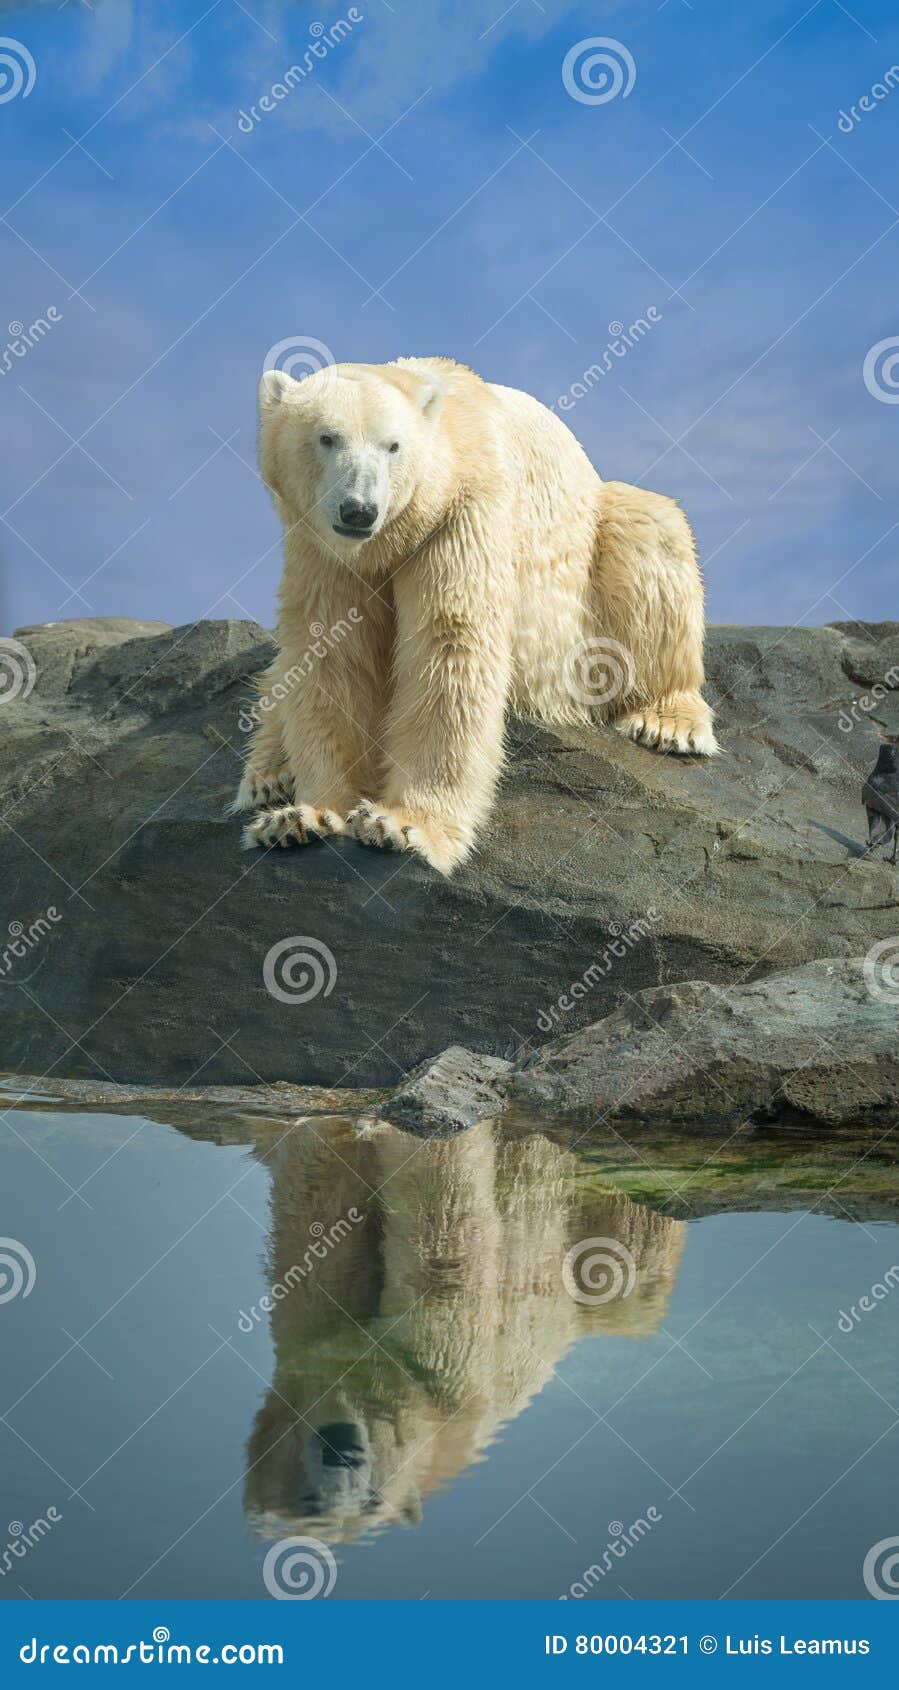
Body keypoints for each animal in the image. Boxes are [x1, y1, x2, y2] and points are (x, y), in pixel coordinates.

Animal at [234, 356, 718, 874]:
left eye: (393, 445)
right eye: (328, 437)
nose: (358, 510)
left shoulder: (461, 516)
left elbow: (450, 645)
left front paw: (402, 827)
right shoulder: (322, 550)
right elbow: (329, 654)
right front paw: (303, 817)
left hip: (596, 567)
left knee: (648, 532)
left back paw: (666, 722)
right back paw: (267, 776)